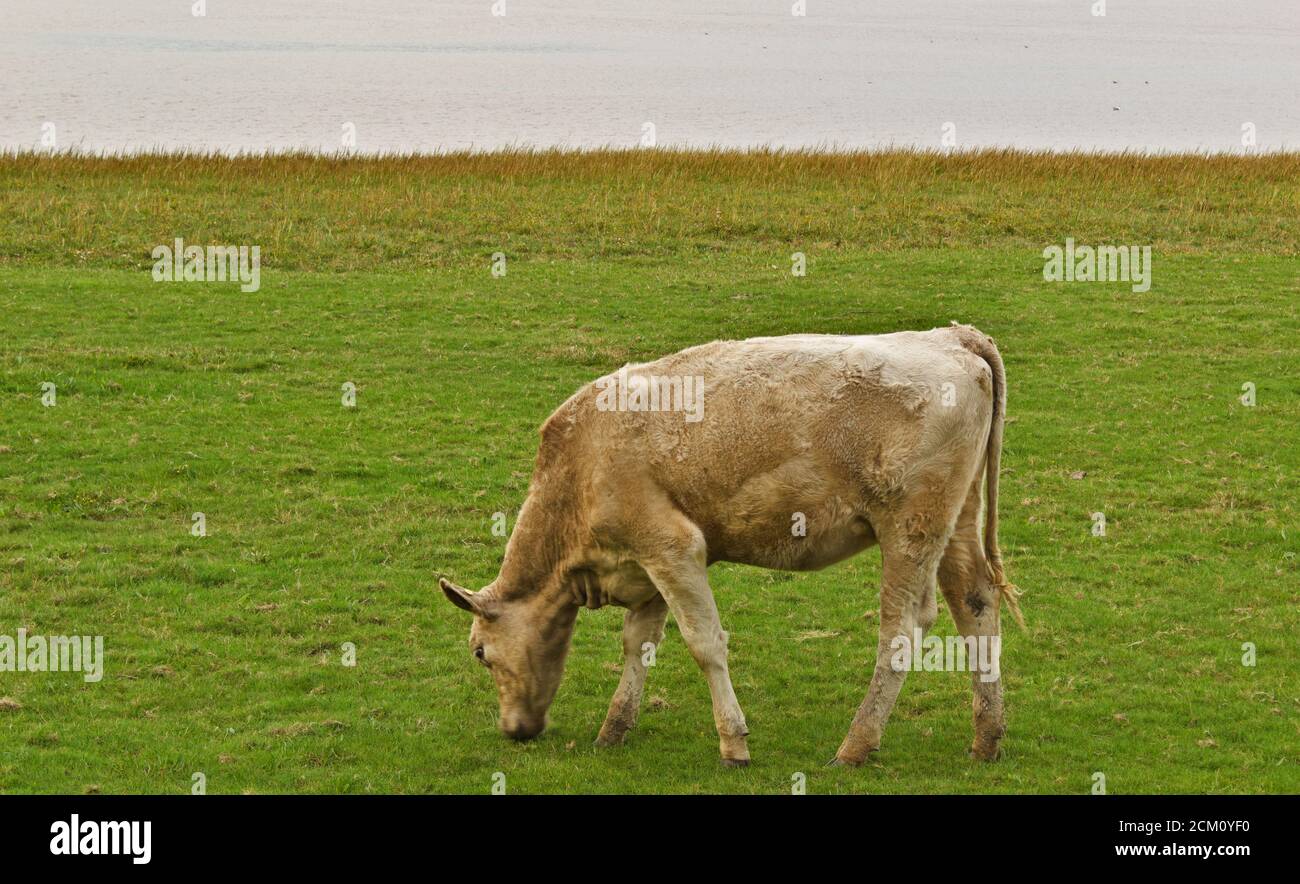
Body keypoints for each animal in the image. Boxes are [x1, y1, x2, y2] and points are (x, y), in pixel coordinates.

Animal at [440, 323, 1022, 767]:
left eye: (480, 652)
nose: (513, 730)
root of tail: (949, 336)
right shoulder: (646, 564)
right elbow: (638, 644)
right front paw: (614, 728)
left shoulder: (673, 547)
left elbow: (705, 643)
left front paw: (733, 743)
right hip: (957, 519)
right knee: (974, 603)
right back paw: (987, 738)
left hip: (909, 526)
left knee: (902, 626)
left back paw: (856, 745)